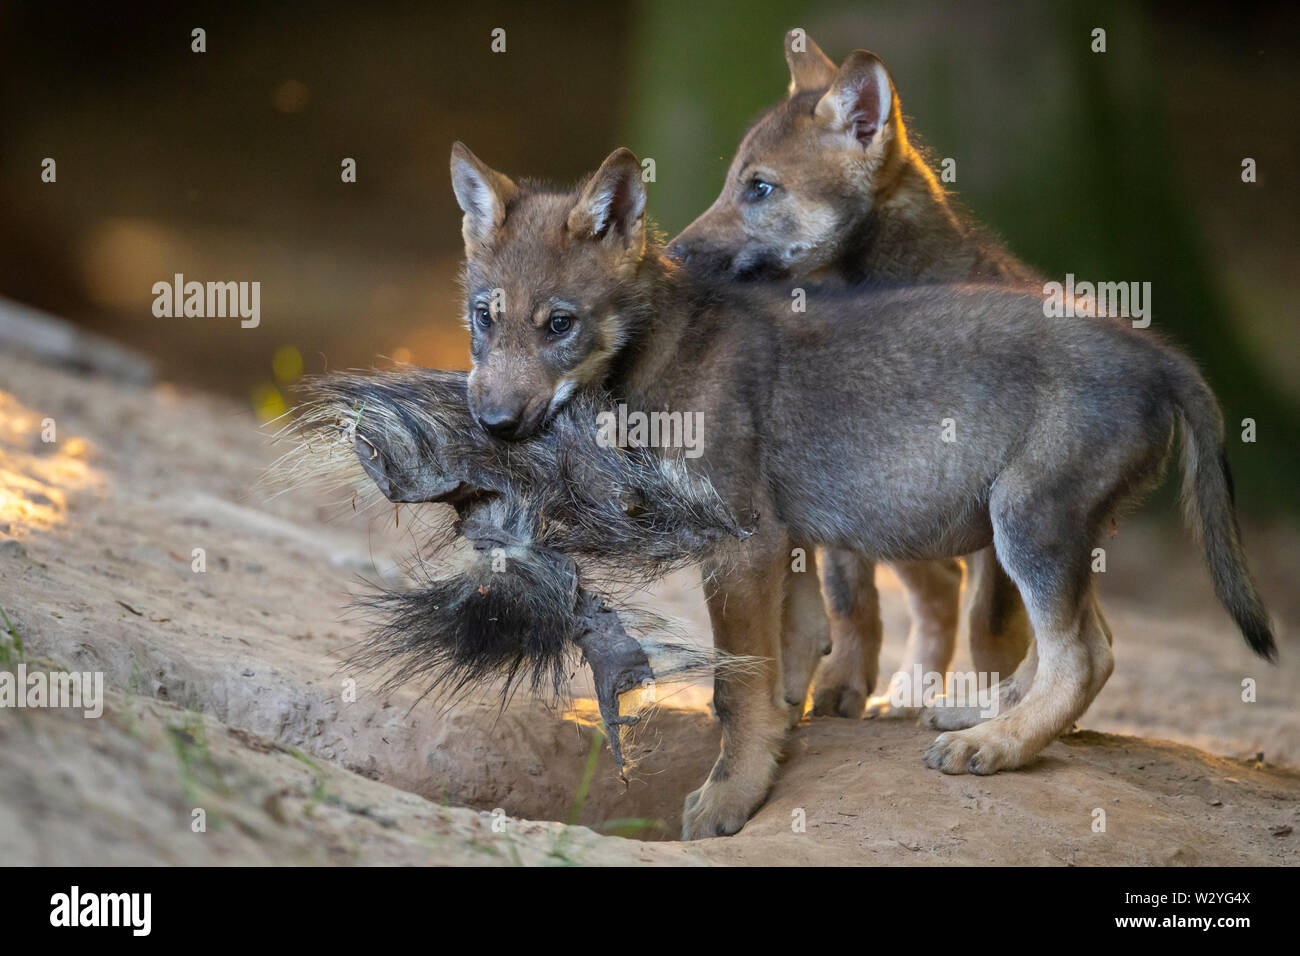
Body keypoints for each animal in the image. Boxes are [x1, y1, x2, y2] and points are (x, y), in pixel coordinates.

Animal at [448, 141, 1274, 839]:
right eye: (484, 318)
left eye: (559, 324)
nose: (492, 422)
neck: (660, 351)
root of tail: (1160, 355)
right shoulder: (784, 543)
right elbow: (790, 663)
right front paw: (777, 749)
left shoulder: (741, 542)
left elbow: (736, 692)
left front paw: (729, 797)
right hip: (1057, 534)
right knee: (1081, 644)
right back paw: (978, 717)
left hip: (1027, 526)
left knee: (1084, 658)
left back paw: (995, 746)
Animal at [669, 31, 1041, 726]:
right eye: (731, 183)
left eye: (759, 188)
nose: (670, 254)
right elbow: (850, 603)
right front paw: (842, 684)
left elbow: (992, 623)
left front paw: (991, 707)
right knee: (938, 589)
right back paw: (907, 689)